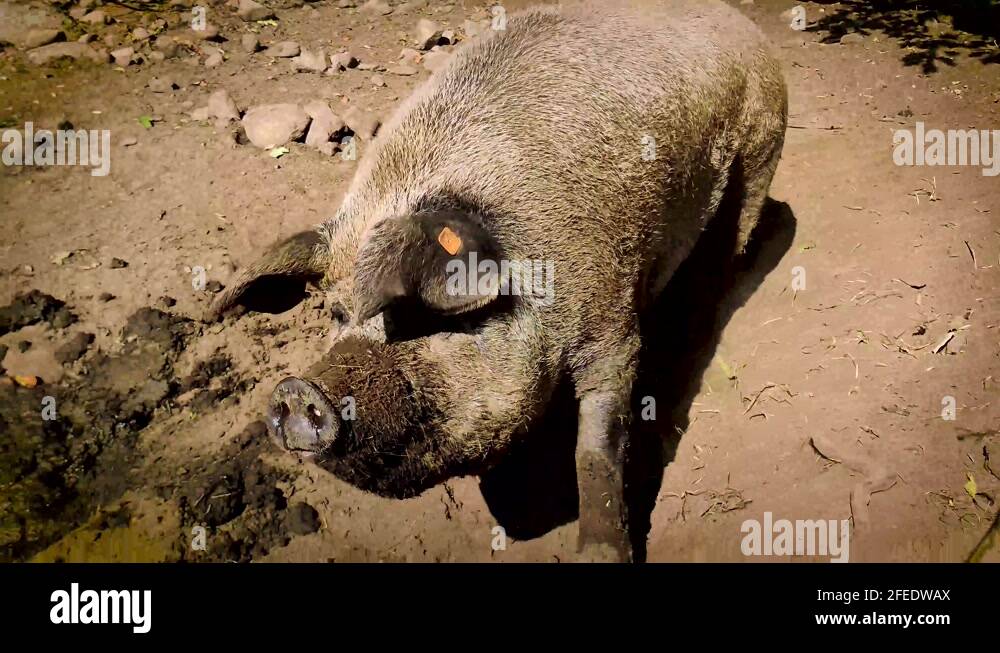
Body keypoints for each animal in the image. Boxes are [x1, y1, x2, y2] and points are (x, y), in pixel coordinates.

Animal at [210, 0, 787, 561]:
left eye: (413, 316)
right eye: (335, 313)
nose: (296, 389)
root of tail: (743, 24)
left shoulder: (613, 321)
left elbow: (597, 443)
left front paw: (602, 554)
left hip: (763, 148)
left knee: (733, 245)